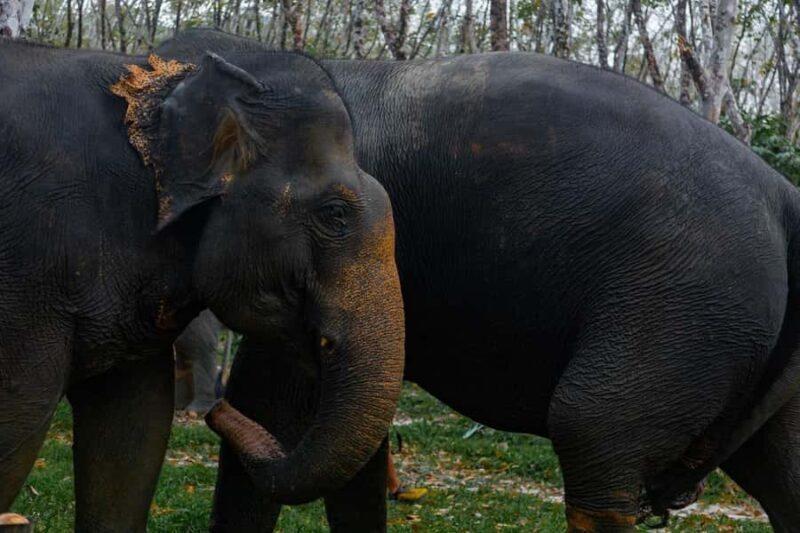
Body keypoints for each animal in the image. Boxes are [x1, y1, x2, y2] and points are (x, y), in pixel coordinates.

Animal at [159, 30, 800, 532]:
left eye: (337, 215)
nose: (209, 412)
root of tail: (783, 195)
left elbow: (271, 402)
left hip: (683, 308)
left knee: (591, 430)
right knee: (780, 472)